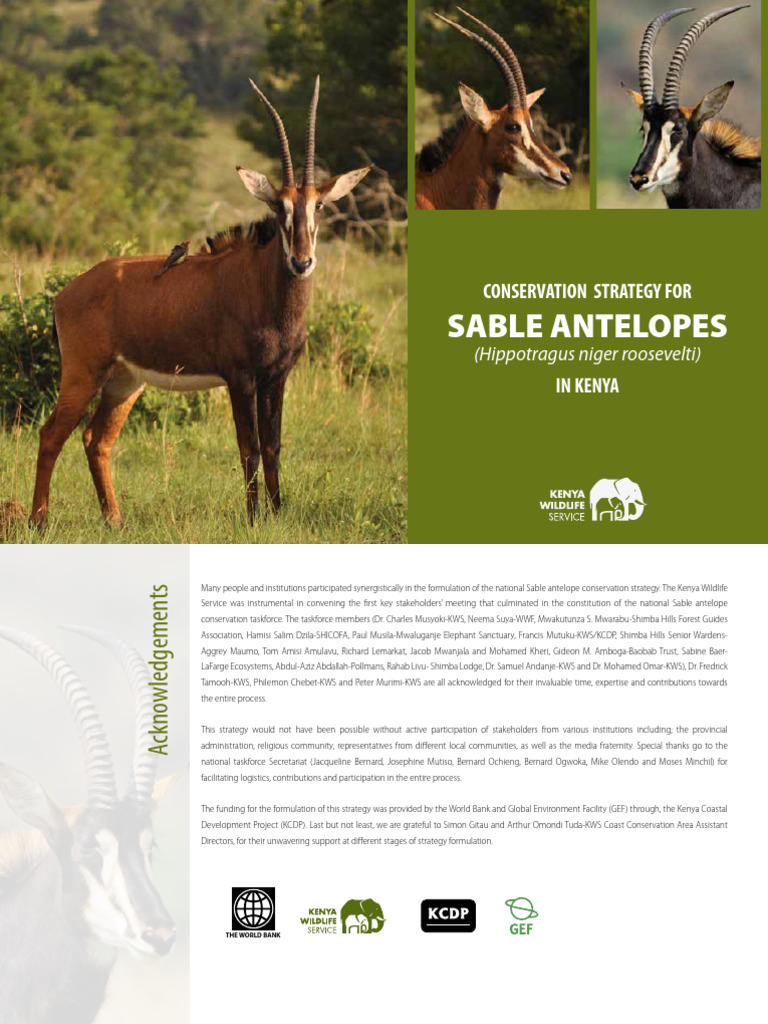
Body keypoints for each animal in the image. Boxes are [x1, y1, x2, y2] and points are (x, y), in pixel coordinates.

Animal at [30, 76, 371, 529]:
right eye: (278, 206)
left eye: (318, 204)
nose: (302, 261)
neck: (266, 292)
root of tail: (65, 294)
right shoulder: (241, 378)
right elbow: (249, 446)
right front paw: (253, 519)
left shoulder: (276, 377)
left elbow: (274, 445)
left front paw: (278, 513)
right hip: (83, 374)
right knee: (52, 434)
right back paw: (38, 520)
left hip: (125, 381)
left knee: (95, 439)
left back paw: (114, 520)